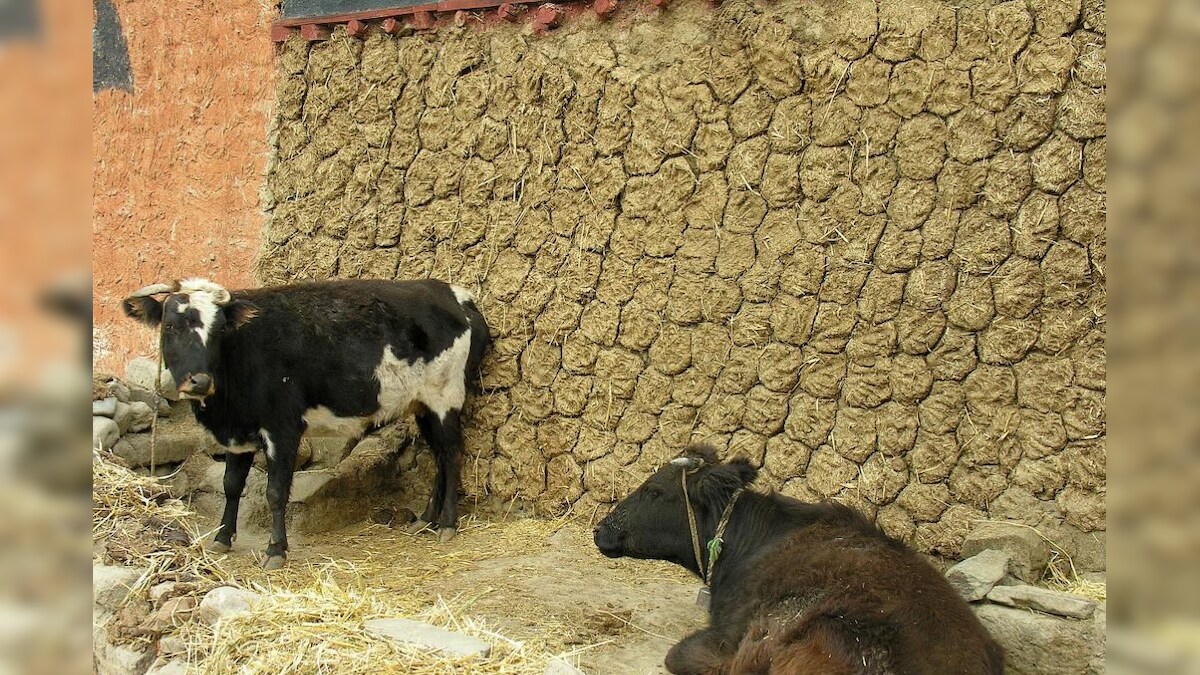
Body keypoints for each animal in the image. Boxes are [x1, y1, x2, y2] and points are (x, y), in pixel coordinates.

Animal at [122, 277, 490, 569]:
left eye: (219, 330)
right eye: (170, 327)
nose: (199, 381)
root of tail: (454, 294)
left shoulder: (282, 427)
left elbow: (274, 492)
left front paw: (275, 550)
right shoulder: (239, 432)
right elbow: (231, 485)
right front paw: (223, 538)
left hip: (445, 396)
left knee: (451, 454)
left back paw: (447, 523)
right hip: (423, 405)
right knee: (439, 455)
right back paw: (427, 520)